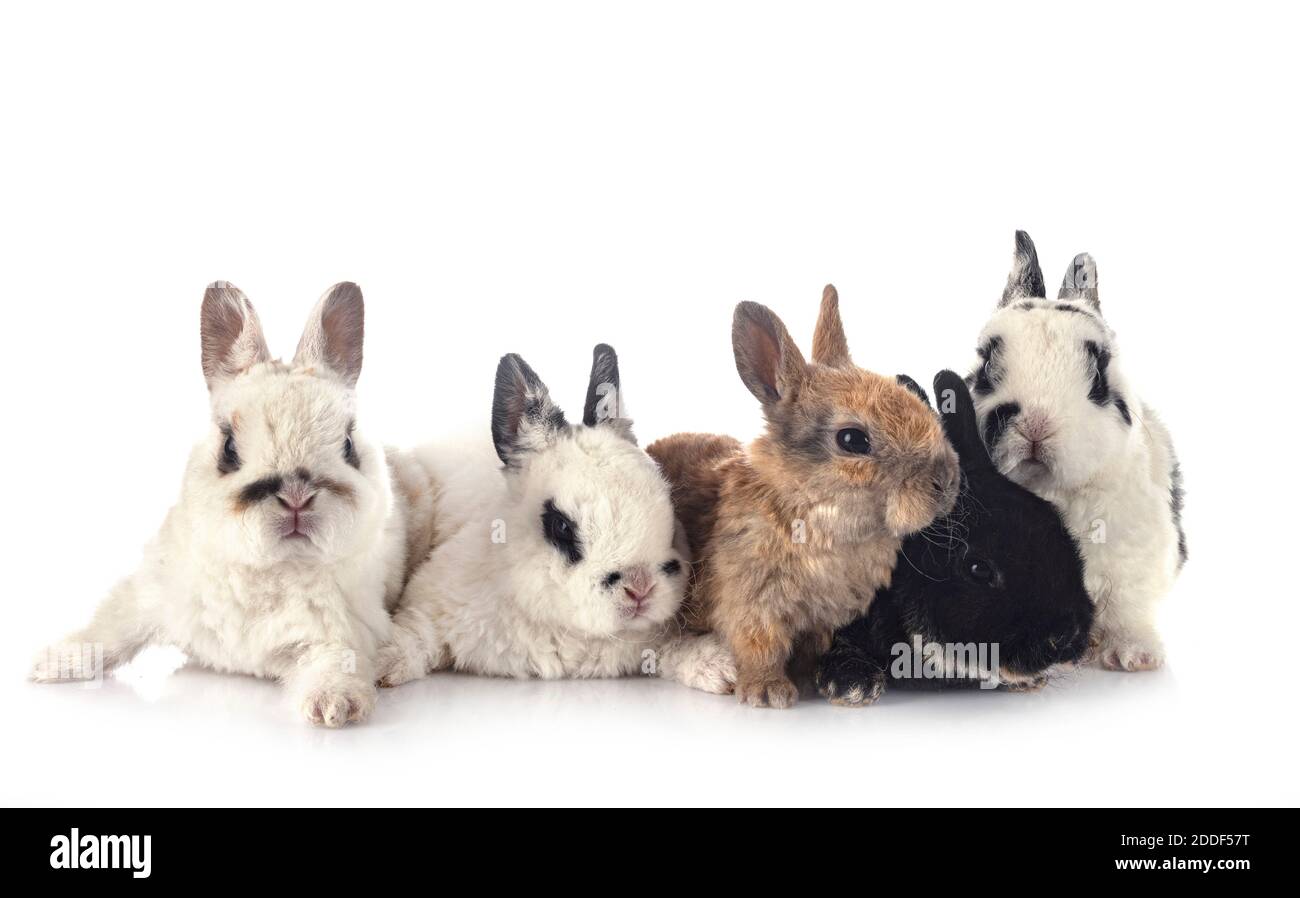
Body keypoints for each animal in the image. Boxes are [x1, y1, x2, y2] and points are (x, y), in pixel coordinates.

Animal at [30, 282, 428, 727]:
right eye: (229, 448)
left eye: (348, 446)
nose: (296, 497)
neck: (269, 568)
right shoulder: (146, 596)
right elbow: (109, 631)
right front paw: (51, 664)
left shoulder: (340, 632)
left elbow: (335, 663)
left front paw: (333, 706)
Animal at [375, 344, 737, 694]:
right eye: (560, 525)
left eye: (668, 503)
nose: (640, 589)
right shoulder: (428, 607)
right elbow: (413, 634)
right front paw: (379, 665)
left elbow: (677, 649)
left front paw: (722, 670)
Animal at [646, 287, 960, 708]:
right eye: (852, 439)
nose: (946, 481)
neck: (808, 506)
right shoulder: (753, 607)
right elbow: (760, 648)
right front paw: (768, 693)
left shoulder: (823, 619)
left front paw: (811, 681)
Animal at [965, 231, 1186, 671]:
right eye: (984, 368)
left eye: (1098, 374)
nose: (1036, 424)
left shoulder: (1137, 556)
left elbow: (1127, 608)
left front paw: (1134, 656)